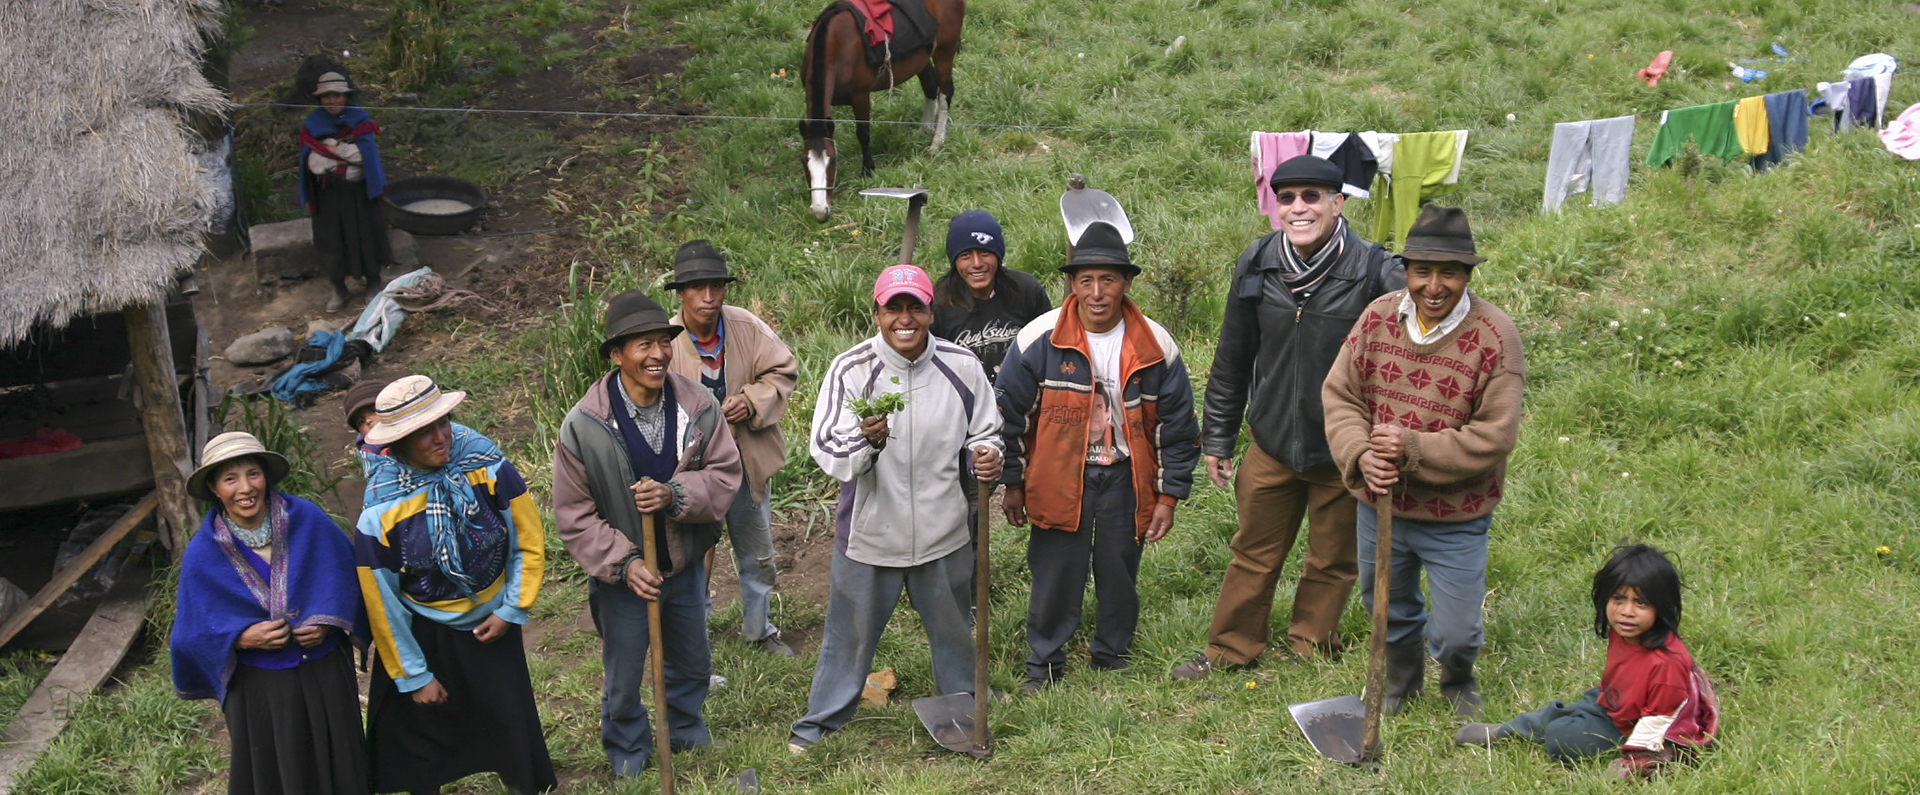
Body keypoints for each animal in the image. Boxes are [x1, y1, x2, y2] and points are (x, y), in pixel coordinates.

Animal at [798, 0, 960, 218]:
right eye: (804, 162)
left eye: (832, 161)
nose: (819, 211)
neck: (836, 45)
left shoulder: (860, 96)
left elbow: (863, 133)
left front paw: (867, 170)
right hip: (922, 58)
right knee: (930, 85)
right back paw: (925, 128)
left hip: (944, 51)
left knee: (945, 93)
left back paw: (937, 142)